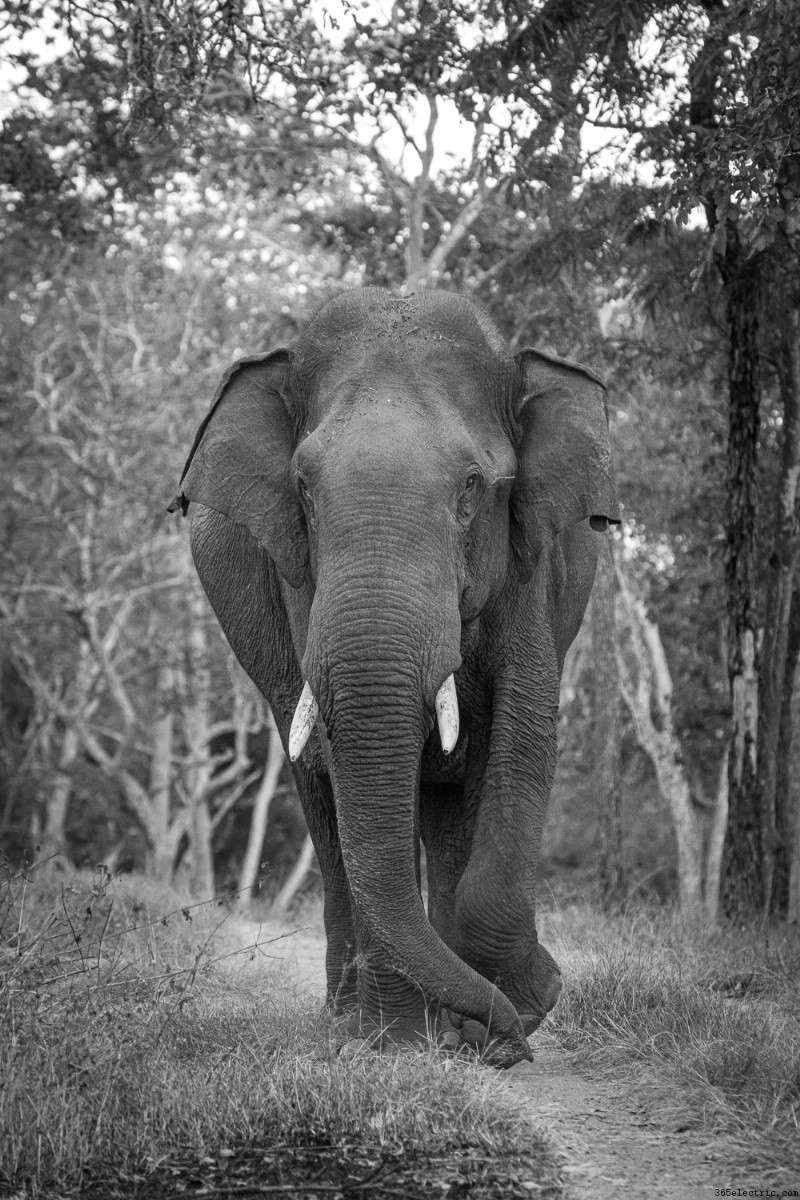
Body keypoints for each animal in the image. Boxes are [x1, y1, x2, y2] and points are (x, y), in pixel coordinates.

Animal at [167, 285, 618, 1065]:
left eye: (473, 488)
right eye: (303, 491)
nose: (514, 1037)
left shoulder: (532, 563)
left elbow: (525, 728)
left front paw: (516, 1016)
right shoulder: (297, 577)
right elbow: (353, 764)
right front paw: (416, 1040)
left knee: (447, 808)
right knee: (325, 806)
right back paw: (353, 1019)